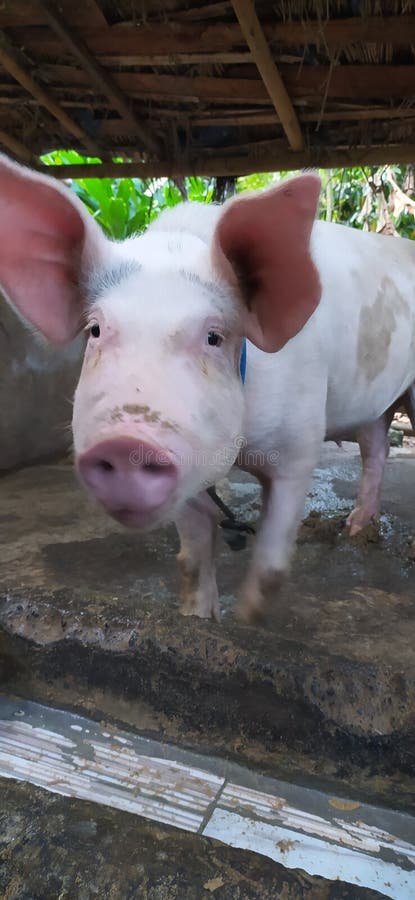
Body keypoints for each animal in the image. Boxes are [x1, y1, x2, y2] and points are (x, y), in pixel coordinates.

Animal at [0, 154, 414, 624]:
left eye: (214, 337)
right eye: (95, 330)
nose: (125, 444)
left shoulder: (301, 439)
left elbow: (272, 561)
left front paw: (248, 620)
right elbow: (193, 559)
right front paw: (200, 620)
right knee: (376, 447)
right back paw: (358, 529)